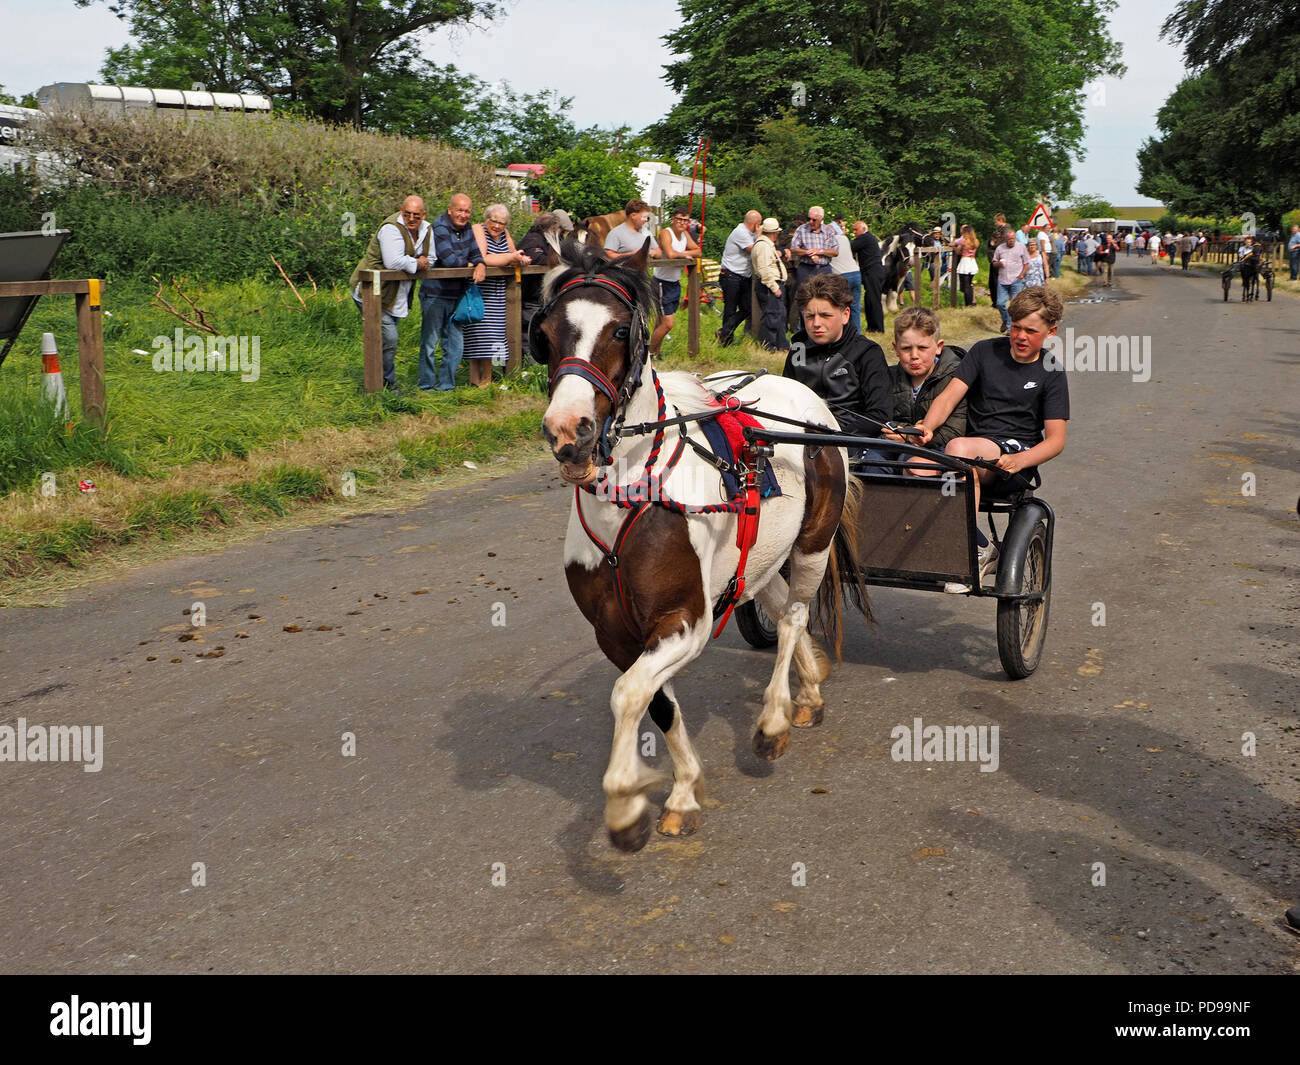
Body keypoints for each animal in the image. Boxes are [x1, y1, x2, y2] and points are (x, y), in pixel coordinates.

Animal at [533, 236, 871, 852]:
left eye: (619, 330)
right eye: (544, 333)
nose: (569, 431)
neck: (631, 501)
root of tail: (804, 398)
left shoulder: (686, 621)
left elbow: (627, 694)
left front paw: (625, 804)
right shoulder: (616, 633)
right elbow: (655, 702)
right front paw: (683, 791)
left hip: (812, 541)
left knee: (794, 617)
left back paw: (775, 717)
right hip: (756, 561)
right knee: (778, 606)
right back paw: (809, 687)